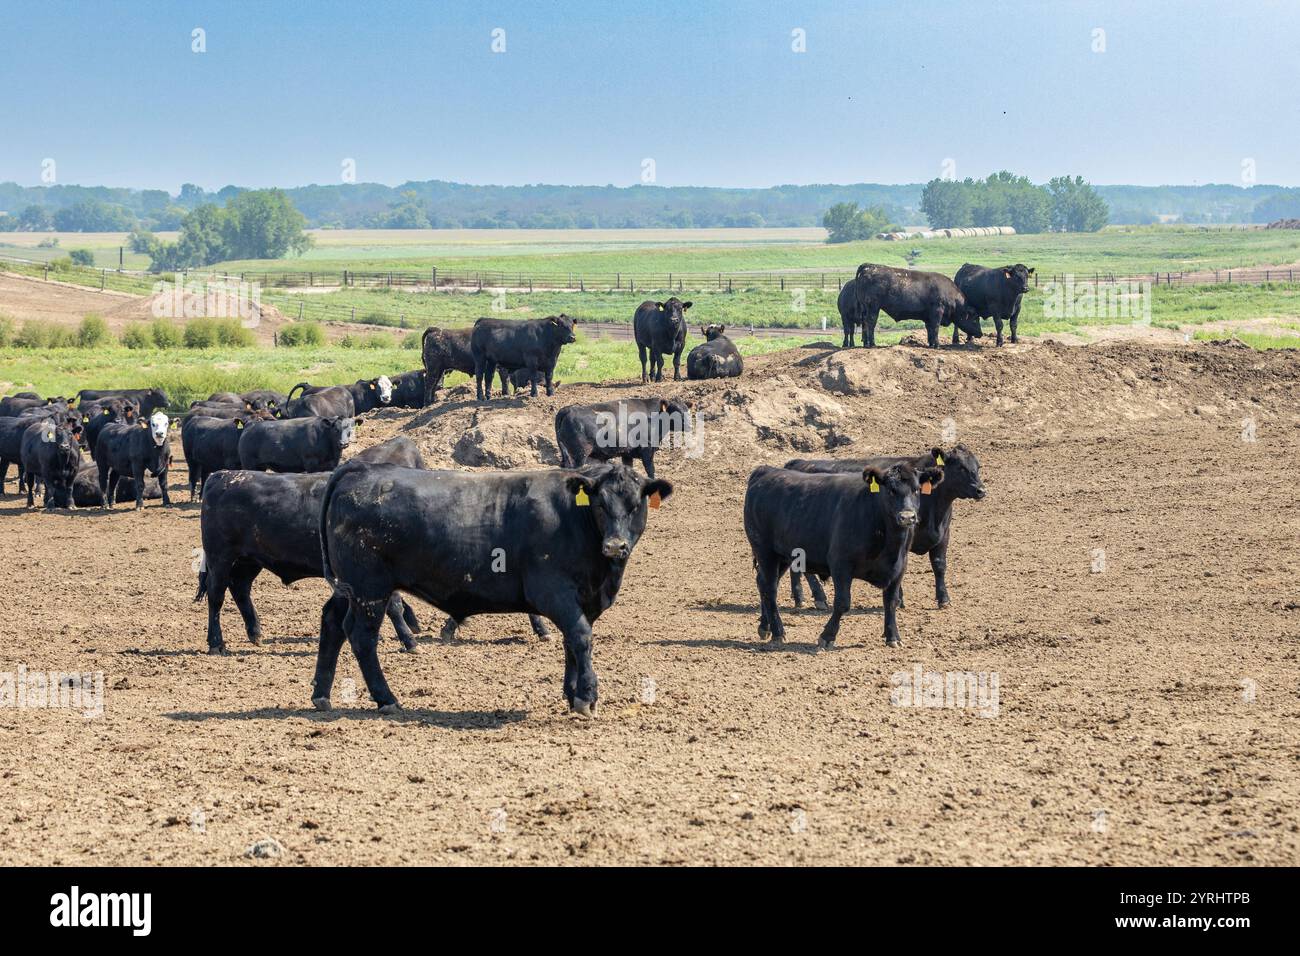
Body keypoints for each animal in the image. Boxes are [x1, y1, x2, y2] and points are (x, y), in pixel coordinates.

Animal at [314, 461, 672, 715]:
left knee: (333, 623)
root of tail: (361, 469)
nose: (615, 546)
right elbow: (581, 637)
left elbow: (572, 642)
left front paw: (572, 695)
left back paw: (321, 695)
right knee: (361, 636)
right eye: (600, 504)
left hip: (349, 588)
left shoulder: (585, 600)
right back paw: (387, 699)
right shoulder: (555, 593)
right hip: (369, 589)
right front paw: (586, 697)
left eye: (635, 505)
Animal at [555, 398, 691, 479]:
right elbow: (650, 470)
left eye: (686, 410)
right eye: (675, 411)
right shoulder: (647, 450)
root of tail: (569, 409)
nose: (689, 425)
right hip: (579, 455)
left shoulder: (627, 454)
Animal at [744, 460, 942, 648]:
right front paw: (827, 637)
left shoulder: (899, 568)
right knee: (770, 588)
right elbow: (843, 602)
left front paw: (893, 637)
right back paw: (778, 632)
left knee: (763, 583)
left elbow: (891, 601)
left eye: (916, 489)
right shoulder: (841, 565)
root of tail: (766, 471)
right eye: (891, 490)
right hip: (764, 550)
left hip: (782, 556)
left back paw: (765, 626)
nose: (907, 517)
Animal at [783, 446, 986, 611]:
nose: (981, 490)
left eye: (978, 467)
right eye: (961, 467)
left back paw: (799, 597)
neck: (935, 507)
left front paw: (944, 599)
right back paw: (819, 598)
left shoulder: (943, 534)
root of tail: (798, 463)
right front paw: (899, 600)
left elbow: (939, 565)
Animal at [840, 264, 983, 349]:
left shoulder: (928, 316)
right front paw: (936, 345)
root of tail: (869, 267)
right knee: (870, 323)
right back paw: (872, 344)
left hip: (866, 309)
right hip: (873, 308)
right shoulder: (937, 312)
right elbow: (935, 328)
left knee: (865, 324)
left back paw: (866, 344)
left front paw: (930, 343)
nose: (980, 334)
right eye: (975, 318)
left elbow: (929, 329)